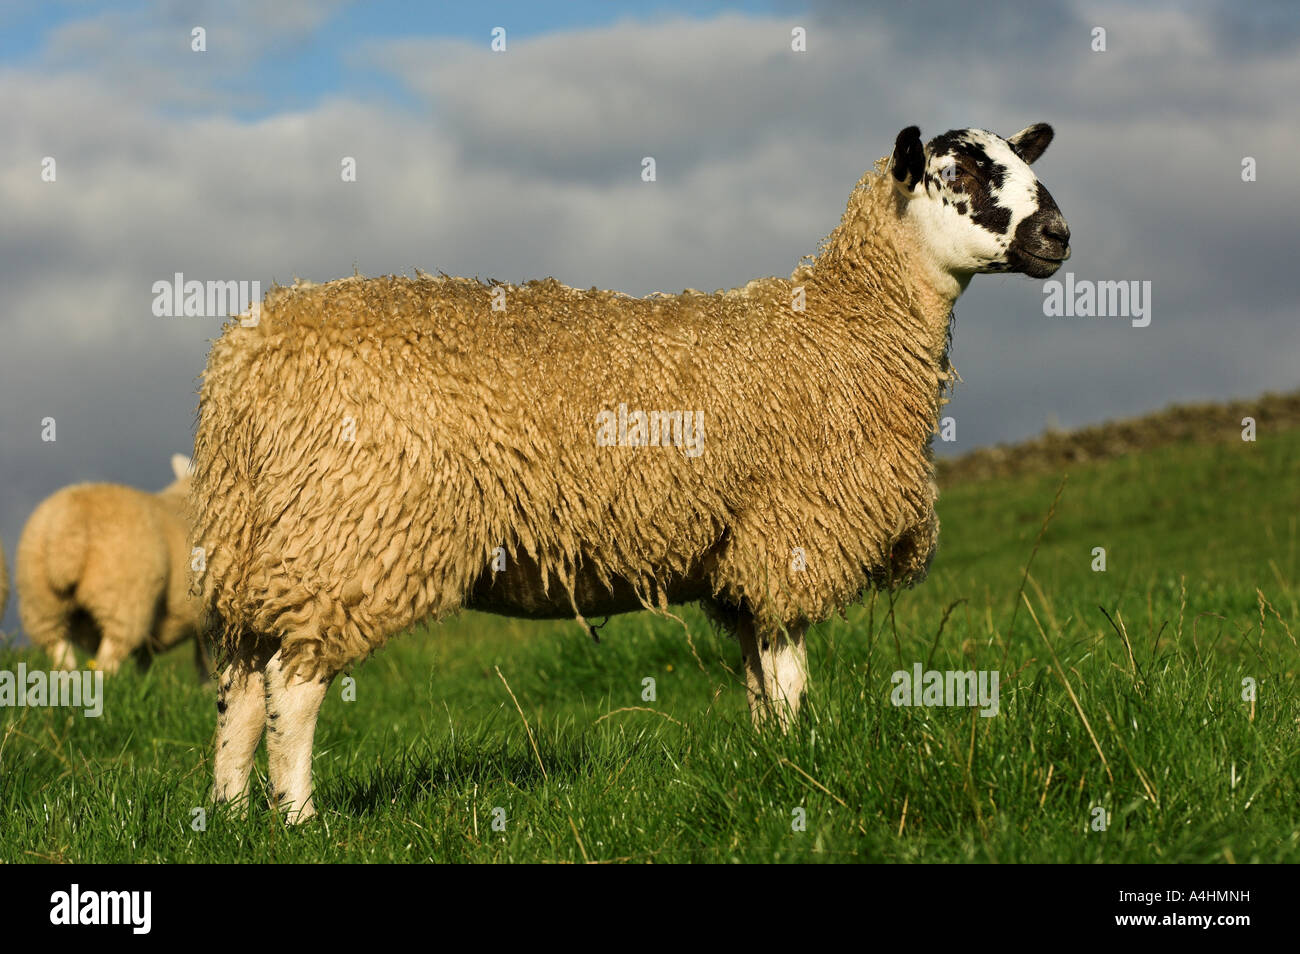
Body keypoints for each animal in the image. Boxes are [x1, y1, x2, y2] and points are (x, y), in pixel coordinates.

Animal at [15, 454, 211, 677]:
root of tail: (71, 522)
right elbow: (204, 661)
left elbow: (145, 656)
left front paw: (142, 678)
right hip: (124, 601)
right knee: (106, 663)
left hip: (42, 604)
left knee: (61, 655)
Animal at [194, 123, 1070, 820]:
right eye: (957, 174)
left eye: (1018, 161)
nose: (1059, 234)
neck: (845, 324)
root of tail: (246, 361)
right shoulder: (788, 532)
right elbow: (789, 673)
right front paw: (801, 763)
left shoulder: (738, 561)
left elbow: (757, 679)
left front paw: (770, 760)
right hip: (345, 534)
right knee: (292, 685)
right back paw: (299, 819)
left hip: (254, 542)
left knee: (240, 687)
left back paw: (230, 817)